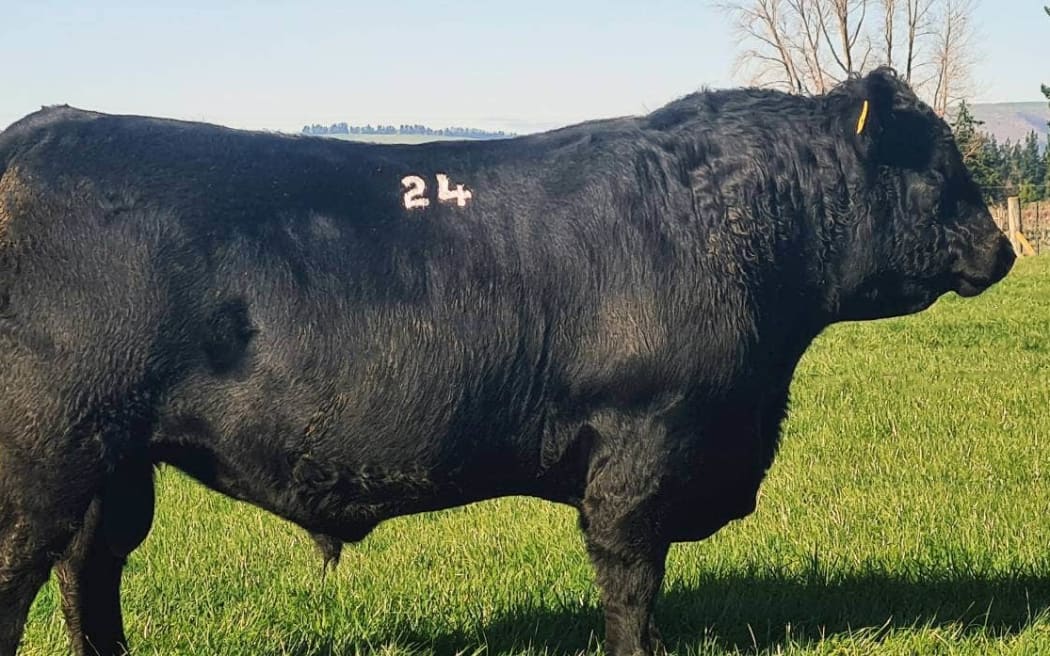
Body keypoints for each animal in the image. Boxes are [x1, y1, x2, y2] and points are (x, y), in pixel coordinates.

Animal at [0, 67, 1014, 656]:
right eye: (936, 163)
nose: (1002, 249)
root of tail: (38, 130)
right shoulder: (645, 445)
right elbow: (630, 583)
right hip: (46, 453)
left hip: (112, 462)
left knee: (88, 574)